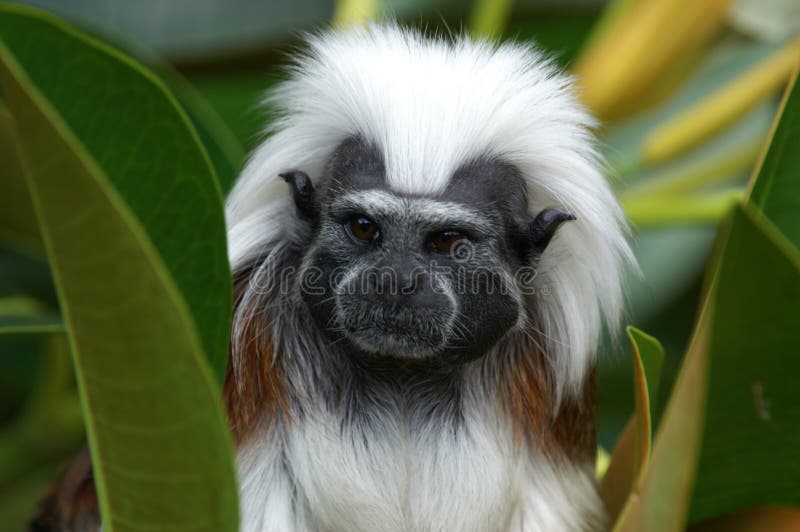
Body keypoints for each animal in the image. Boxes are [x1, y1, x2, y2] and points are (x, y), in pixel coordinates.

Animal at [31, 23, 633, 532]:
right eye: (365, 228)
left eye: (448, 242)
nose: (394, 281)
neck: (402, 381)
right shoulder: (243, 359)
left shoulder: (554, 402)